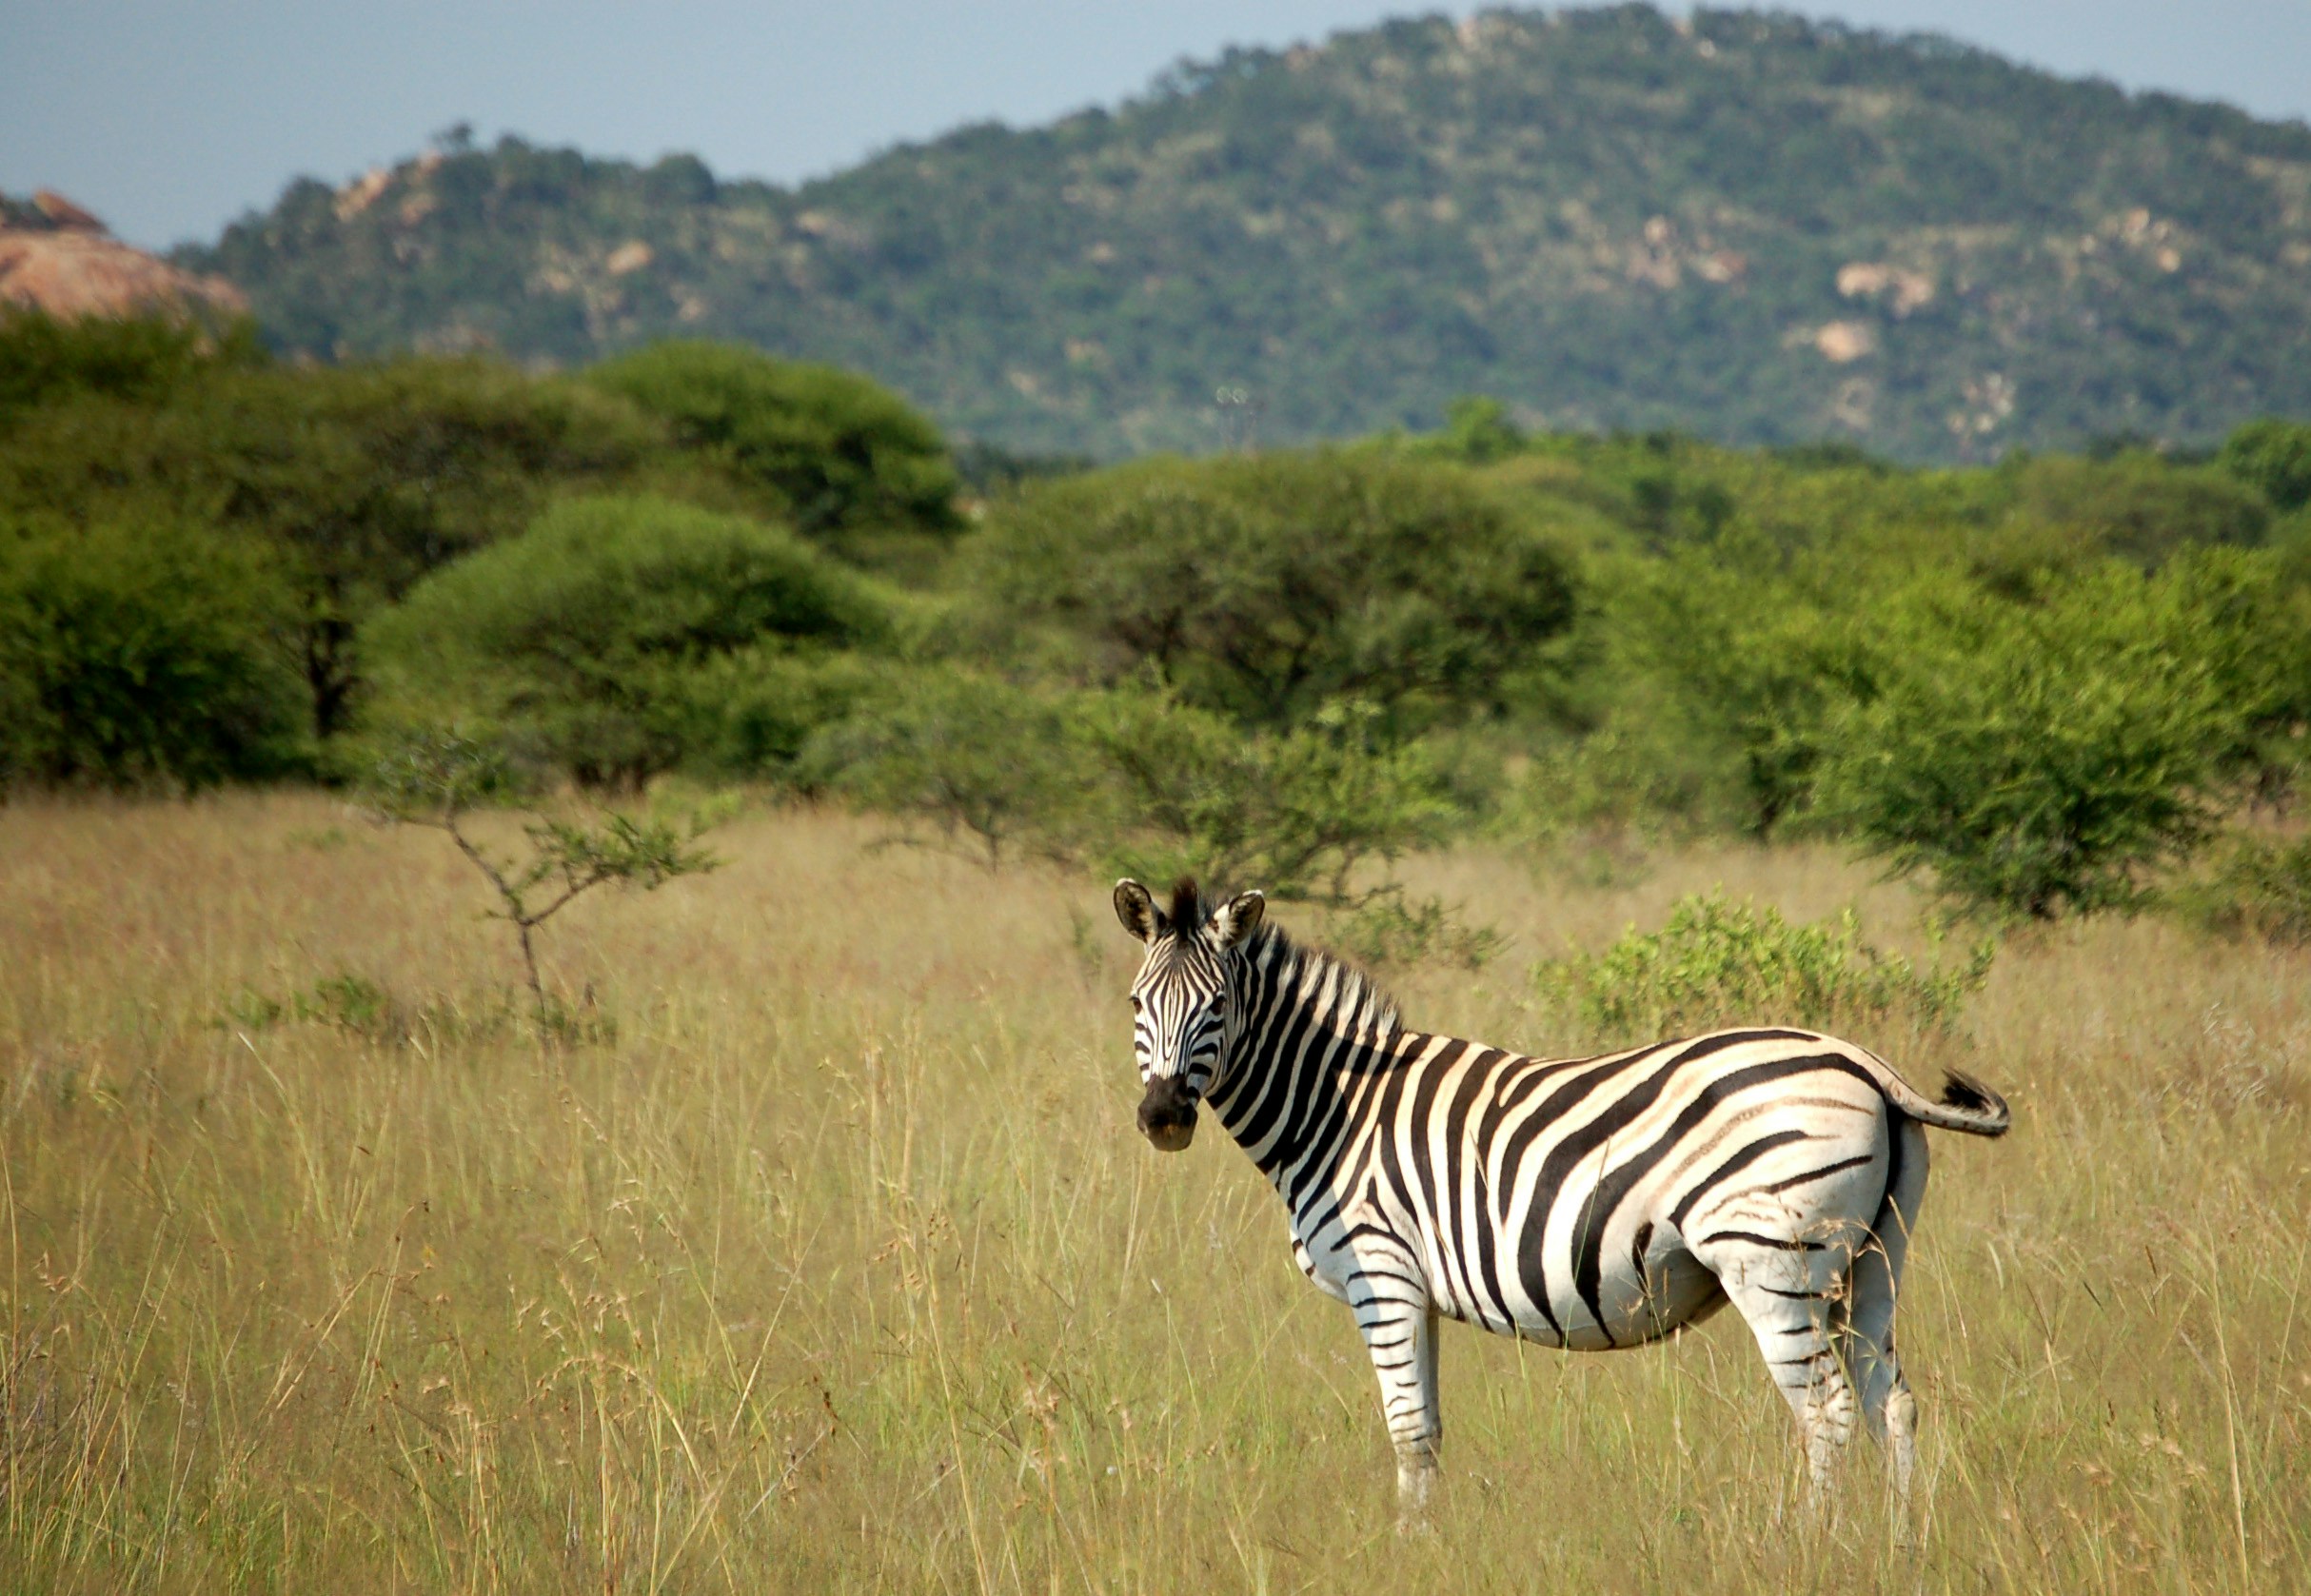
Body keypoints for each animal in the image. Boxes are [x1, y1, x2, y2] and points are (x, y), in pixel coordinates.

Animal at [1113, 876, 2009, 1517]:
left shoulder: (1382, 1275)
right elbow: (1429, 1434)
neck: (1333, 1109)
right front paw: (1427, 1547)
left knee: (1827, 1416)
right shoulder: (1418, 1291)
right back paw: (1897, 1547)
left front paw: (1407, 1547)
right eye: (1134, 1004)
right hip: (1874, 1261)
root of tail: (1867, 1063)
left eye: (1218, 1006)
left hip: (1774, 1267)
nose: (1162, 1118)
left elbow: (1407, 1432)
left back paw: (1809, 1549)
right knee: (1894, 1404)